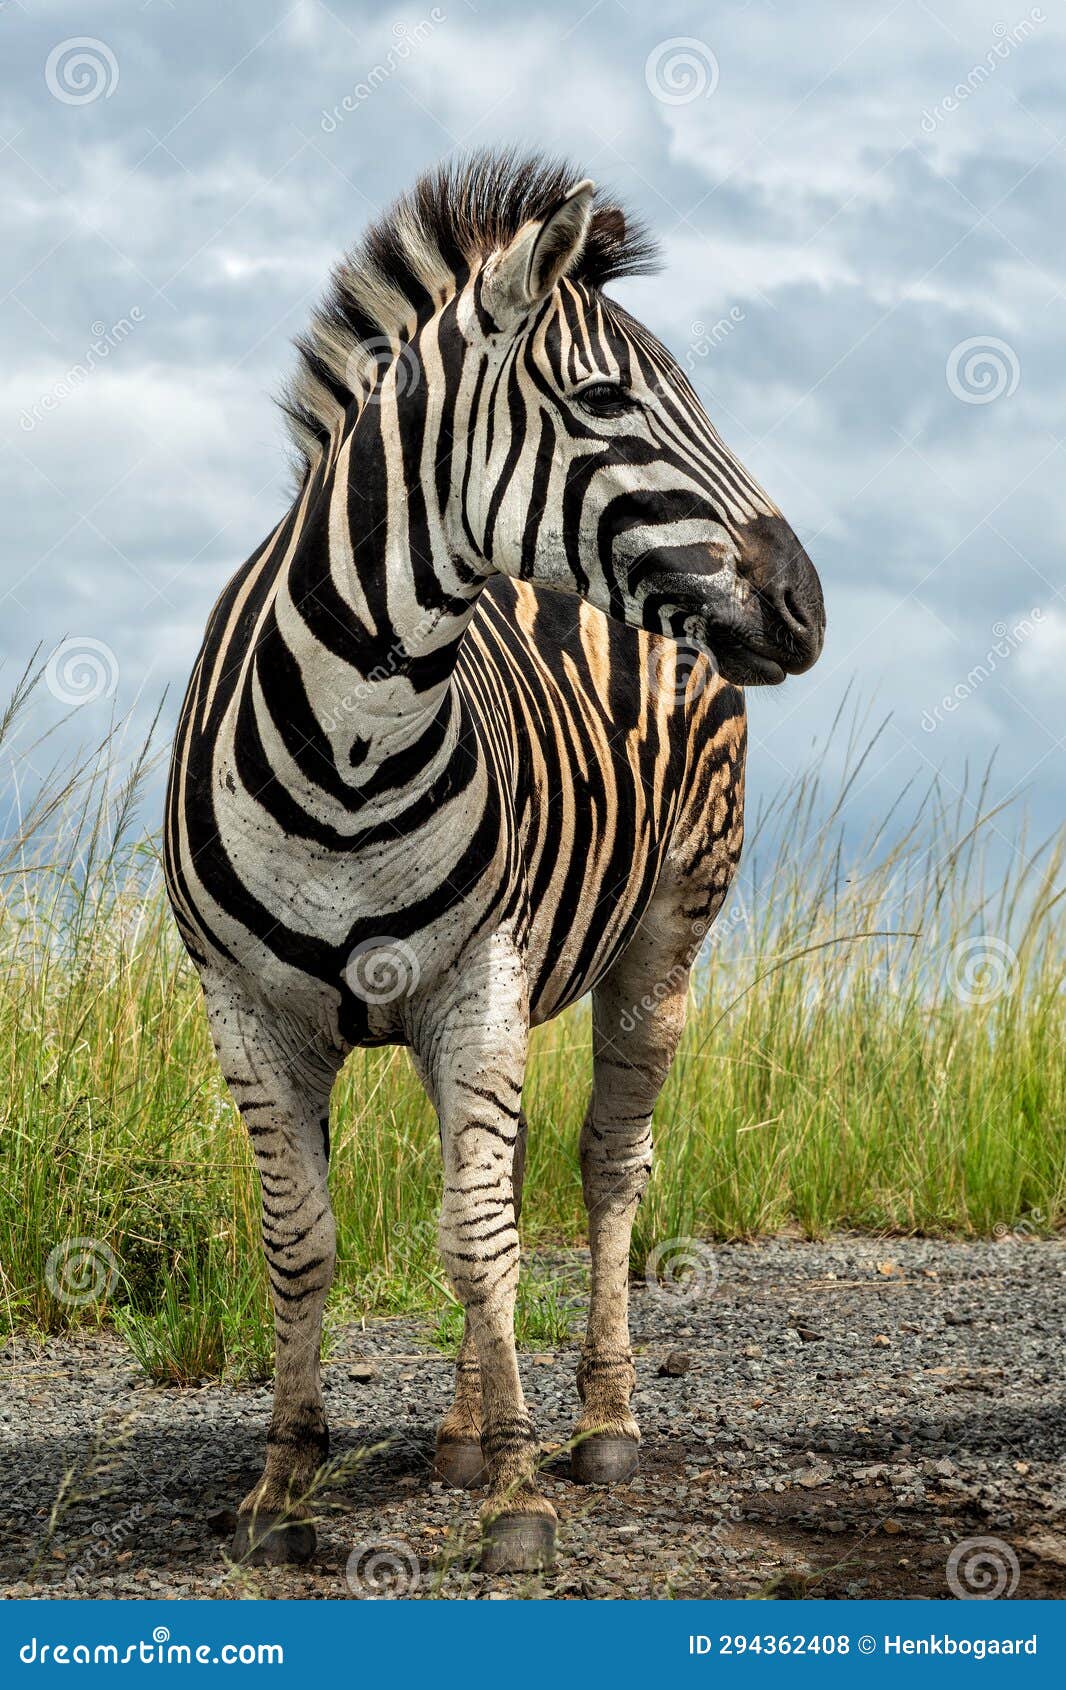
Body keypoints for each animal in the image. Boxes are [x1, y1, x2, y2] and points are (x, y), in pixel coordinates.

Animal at [164, 150, 824, 1575]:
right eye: (605, 400)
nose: (807, 608)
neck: (356, 731)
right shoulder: (248, 1010)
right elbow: (304, 1244)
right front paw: (281, 1485)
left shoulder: (478, 981)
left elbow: (481, 1238)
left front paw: (519, 1497)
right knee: (503, 1178)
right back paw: (464, 1428)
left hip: (662, 935)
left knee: (603, 1166)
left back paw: (598, 1425)